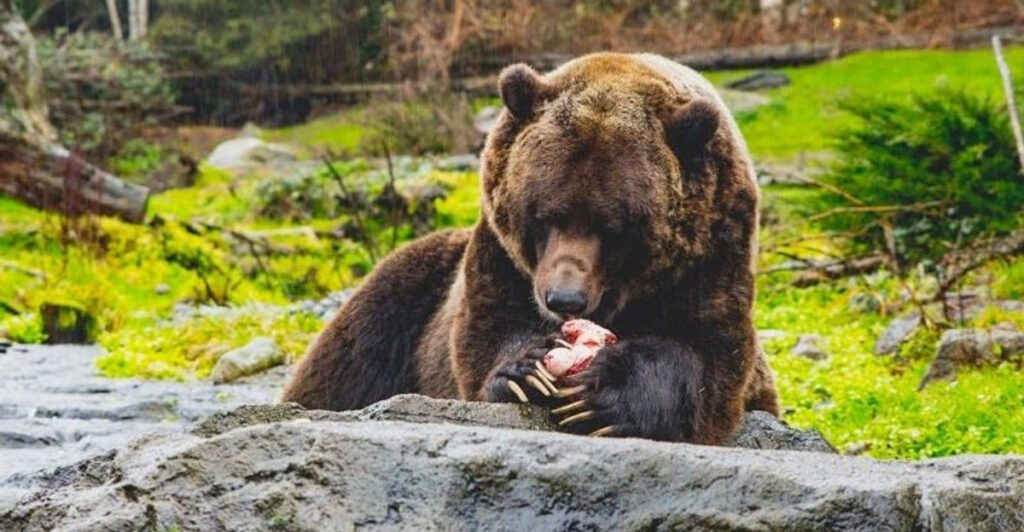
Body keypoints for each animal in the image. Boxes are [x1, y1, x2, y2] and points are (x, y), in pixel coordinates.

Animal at [281, 52, 780, 444]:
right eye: (543, 214)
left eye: (615, 227)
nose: (564, 299)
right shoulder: (500, 260)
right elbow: (487, 335)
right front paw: (529, 370)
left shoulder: (713, 255)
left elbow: (705, 356)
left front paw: (602, 393)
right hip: (406, 294)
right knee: (348, 362)